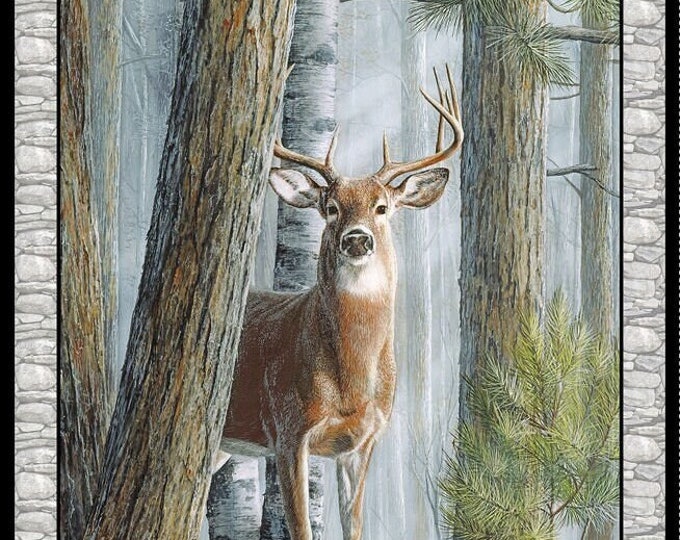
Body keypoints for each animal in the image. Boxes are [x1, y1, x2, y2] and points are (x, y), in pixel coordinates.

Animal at [217, 67, 463, 540]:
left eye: (382, 207)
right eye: (330, 208)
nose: (357, 239)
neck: (351, 379)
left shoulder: (362, 443)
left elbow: (355, 527)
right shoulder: (289, 431)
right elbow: (302, 530)